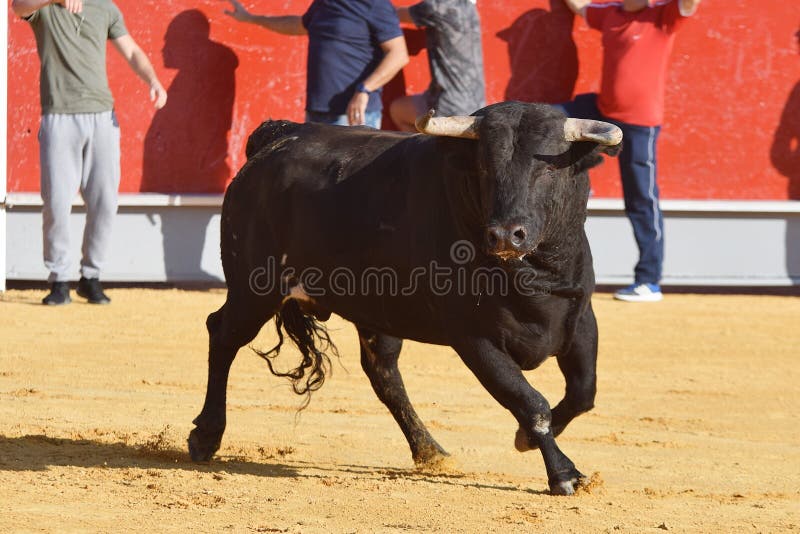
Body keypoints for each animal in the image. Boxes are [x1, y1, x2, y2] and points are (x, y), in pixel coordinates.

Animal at [188, 102, 622, 495]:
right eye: (484, 169)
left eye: (549, 169)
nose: (504, 235)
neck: (533, 276)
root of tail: (279, 136)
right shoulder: (475, 338)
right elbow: (531, 402)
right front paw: (564, 473)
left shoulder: (581, 320)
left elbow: (583, 393)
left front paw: (526, 441)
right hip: (254, 289)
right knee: (222, 334)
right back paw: (206, 435)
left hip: (374, 312)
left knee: (383, 372)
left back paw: (430, 451)